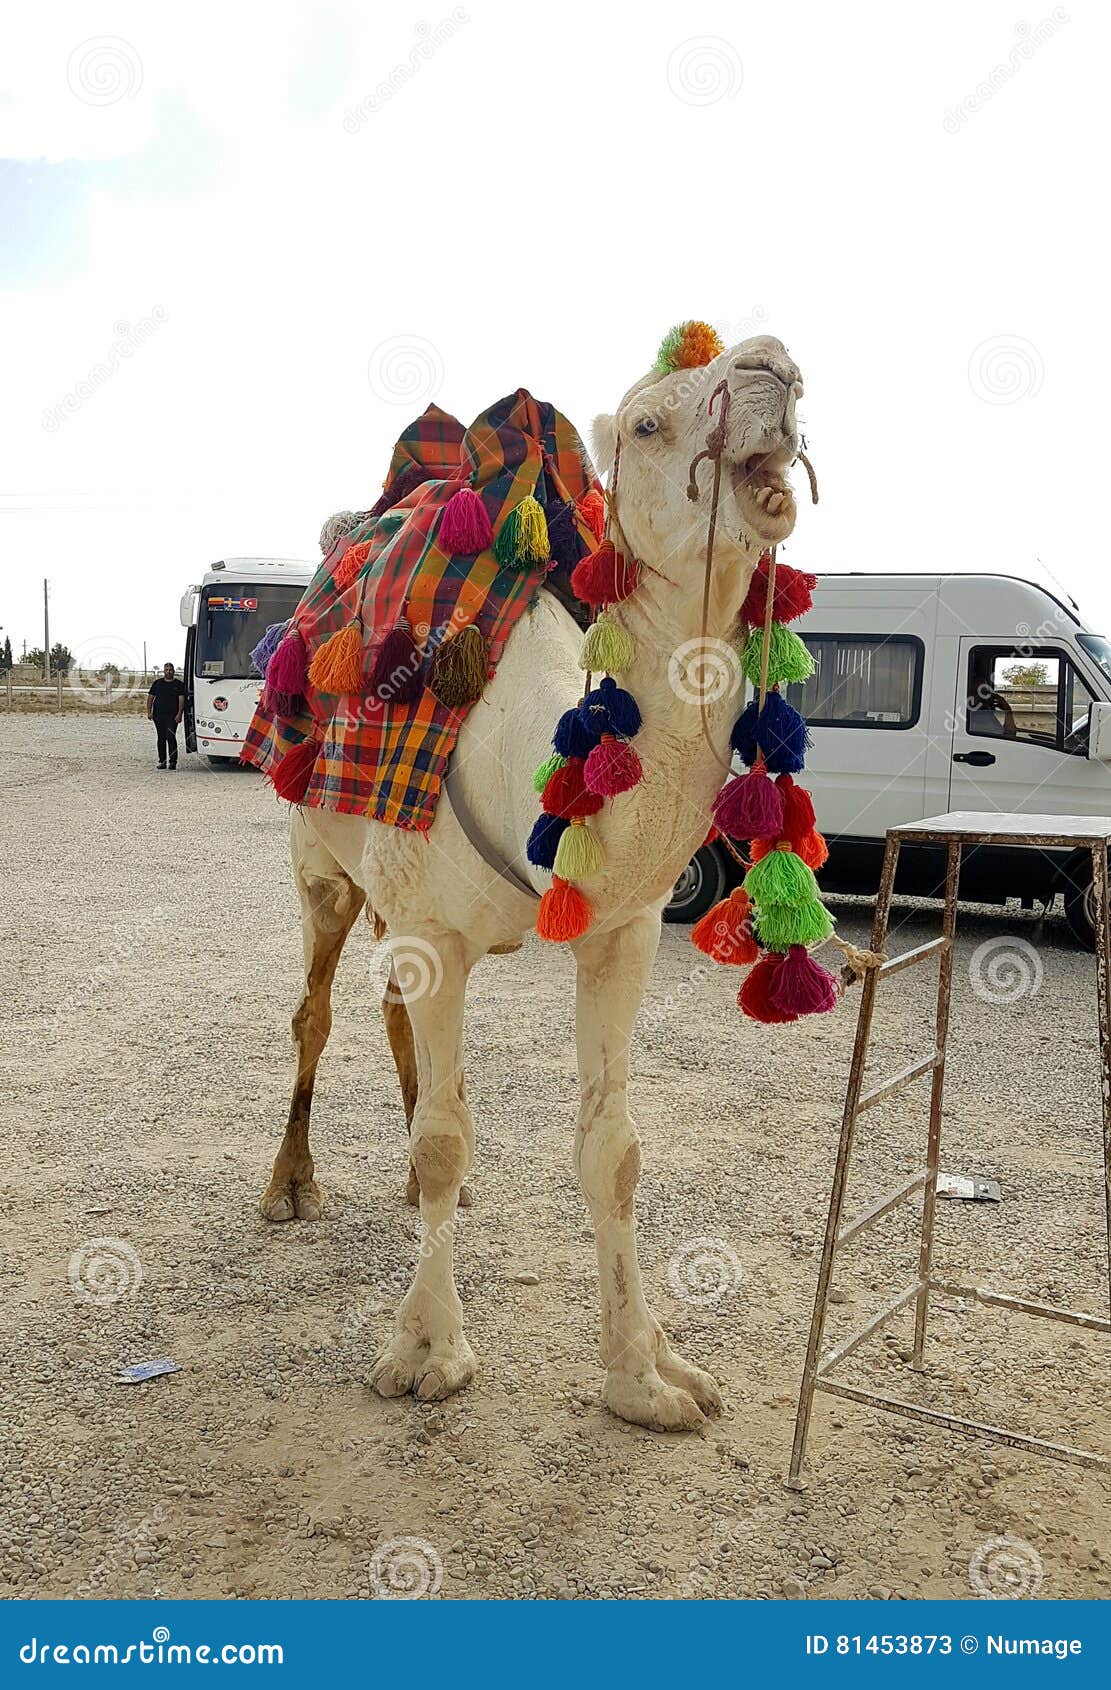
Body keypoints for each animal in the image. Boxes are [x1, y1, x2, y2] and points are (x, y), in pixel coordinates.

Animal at [258, 334, 805, 1431]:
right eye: (646, 422)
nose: (772, 363)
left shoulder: (622, 928)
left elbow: (613, 1150)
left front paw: (647, 1376)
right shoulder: (433, 932)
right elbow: (444, 1140)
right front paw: (425, 1353)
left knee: (391, 1020)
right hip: (322, 869)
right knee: (315, 1012)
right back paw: (291, 1187)